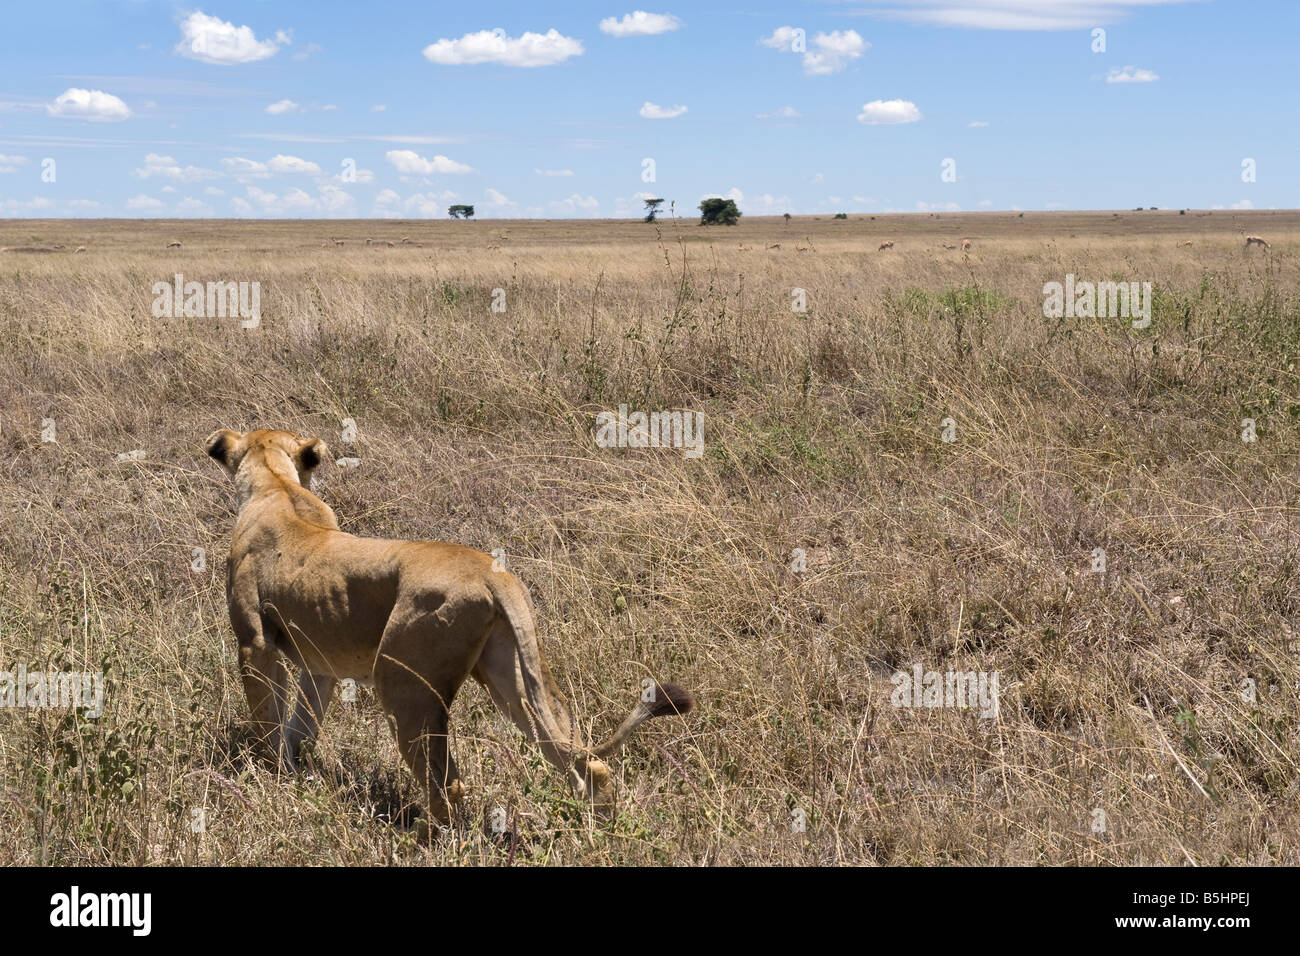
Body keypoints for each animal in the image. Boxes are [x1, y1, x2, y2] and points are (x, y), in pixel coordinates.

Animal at [205, 428, 695, 825]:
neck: (277, 482)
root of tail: (493, 573)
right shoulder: (321, 663)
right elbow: (301, 725)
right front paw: (295, 775)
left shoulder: (255, 644)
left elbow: (268, 718)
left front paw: (269, 775)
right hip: (511, 678)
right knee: (583, 760)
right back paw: (599, 828)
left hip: (403, 681)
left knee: (448, 784)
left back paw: (418, 841)